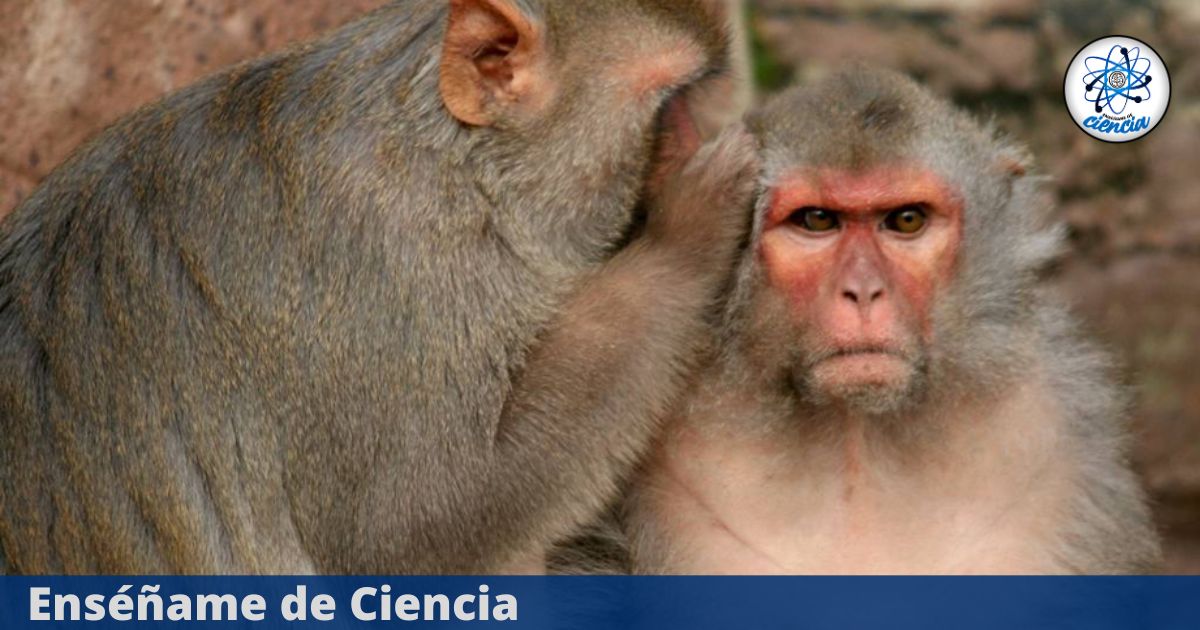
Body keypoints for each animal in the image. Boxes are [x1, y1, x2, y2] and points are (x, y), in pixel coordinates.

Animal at [0, 0, 761, 574]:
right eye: (672, 105)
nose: (699, 138)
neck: (464, 166)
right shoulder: (392, 277)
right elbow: (416, 524)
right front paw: (686, 236)